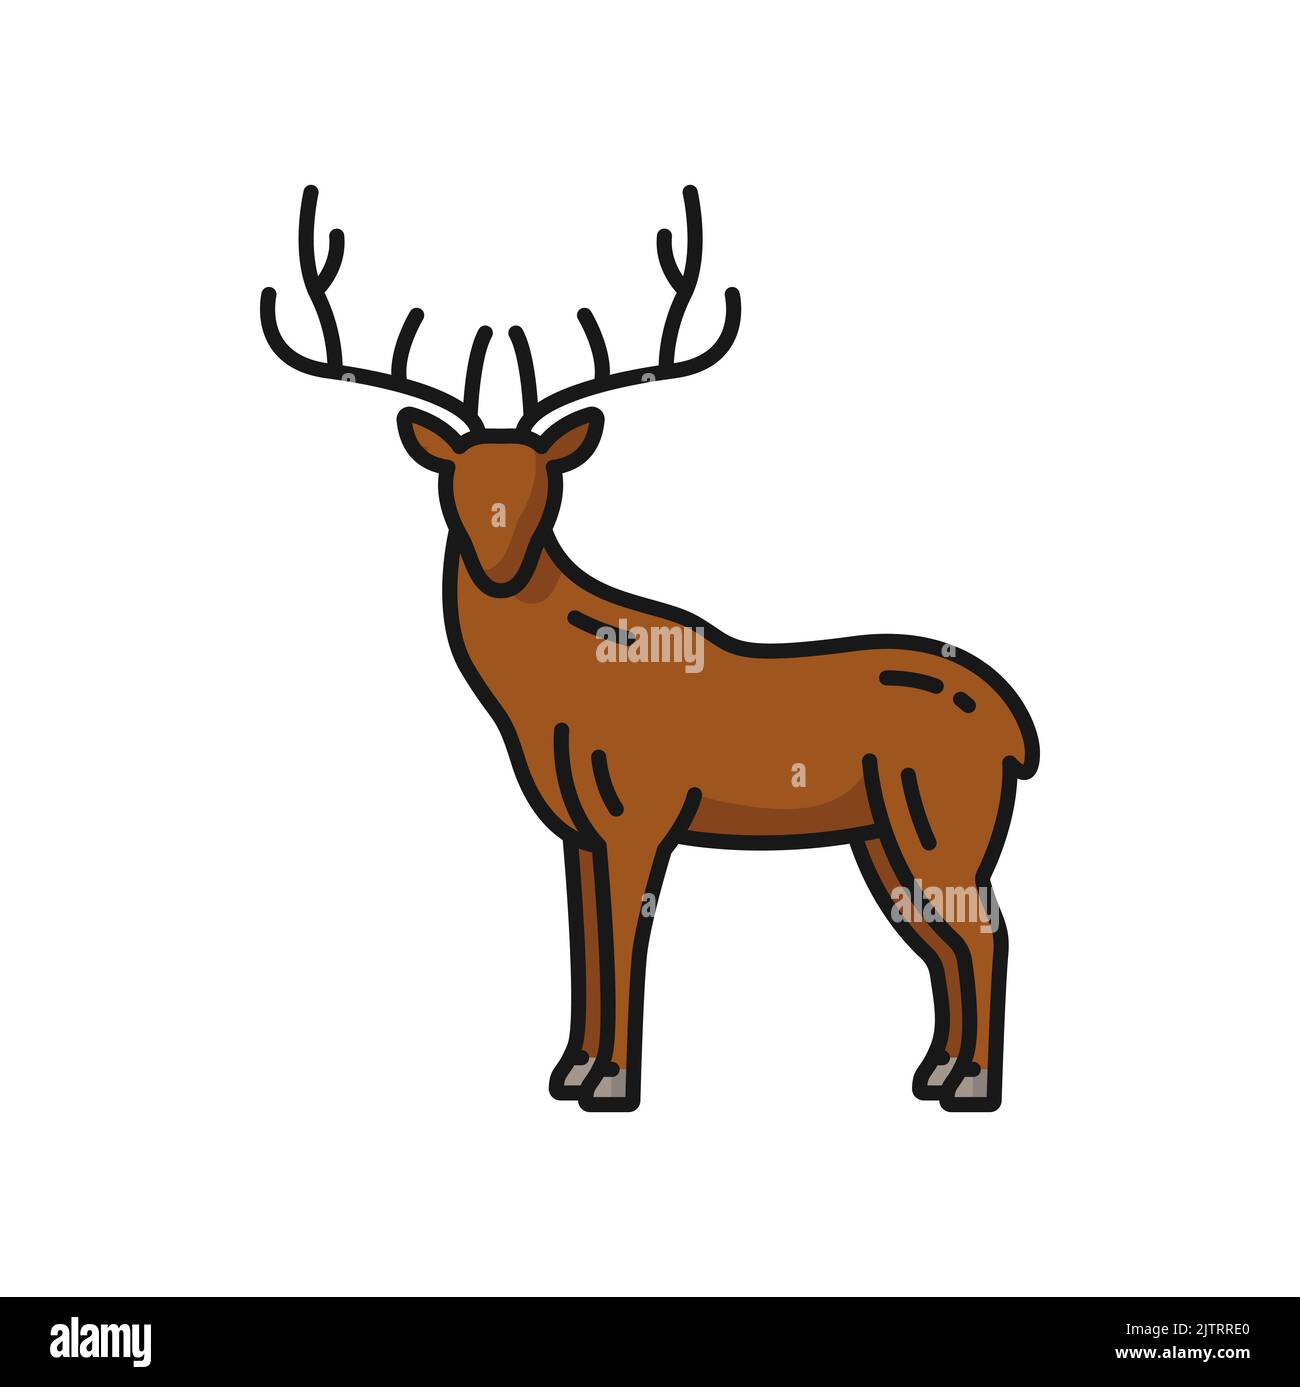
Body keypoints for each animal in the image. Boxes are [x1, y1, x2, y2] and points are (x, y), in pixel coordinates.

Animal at [260, 185, 1039, 1113]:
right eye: (457, 481)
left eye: (545, 482)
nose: (498, 560)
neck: (549, 689)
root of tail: (1021, 734)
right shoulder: (577, 830)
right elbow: (584, 943)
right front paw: (570, 1068)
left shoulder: (643, 808)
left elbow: (622, 944)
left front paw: (613, 1082)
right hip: (886, 835)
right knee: (947, 937)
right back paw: (937, 1071)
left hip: (945, 814)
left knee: (988, 930)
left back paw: (974, 1083)